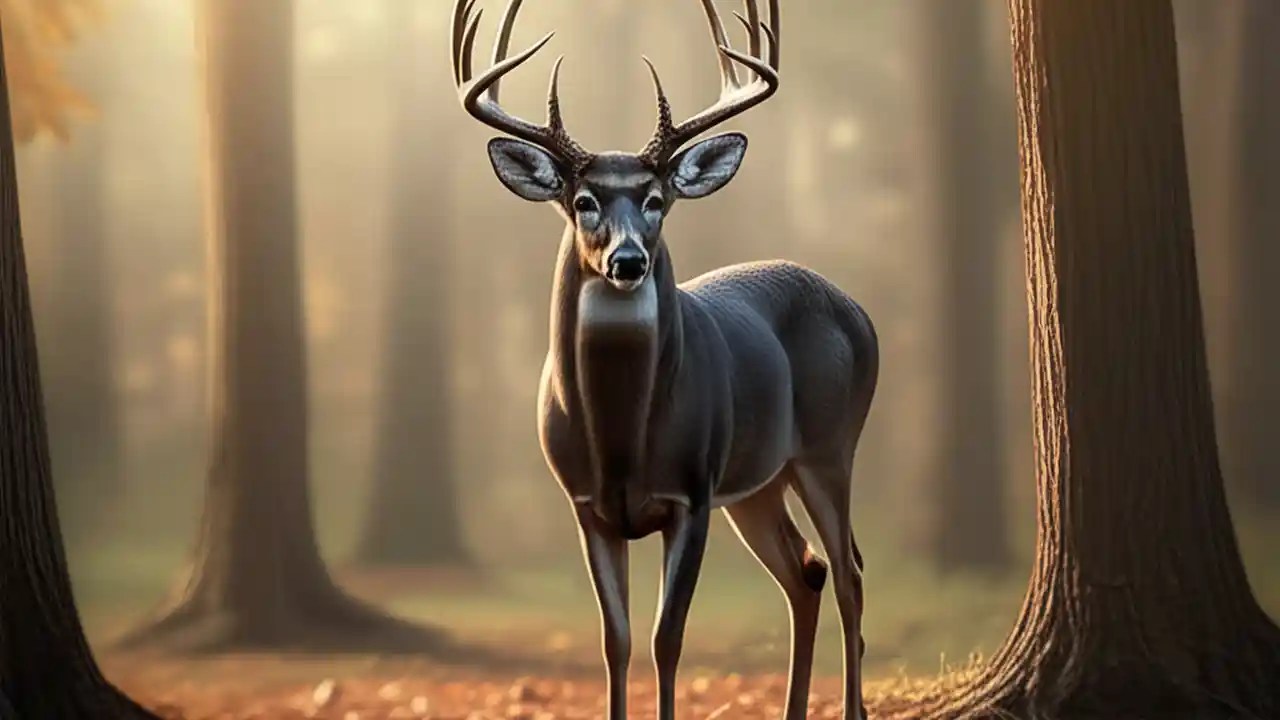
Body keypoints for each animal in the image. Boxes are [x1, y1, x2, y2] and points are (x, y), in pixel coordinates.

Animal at [450, 1, 878, 718]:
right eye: (584, 200)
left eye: (656, 201)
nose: (628, 260)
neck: (623, 440)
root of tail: (860, 312)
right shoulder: (586, 504)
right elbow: (616, 640)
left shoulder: (691, 492)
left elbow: (666, 638)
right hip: (758, 482)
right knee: (807, 571)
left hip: (828, 446)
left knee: (847, 573)